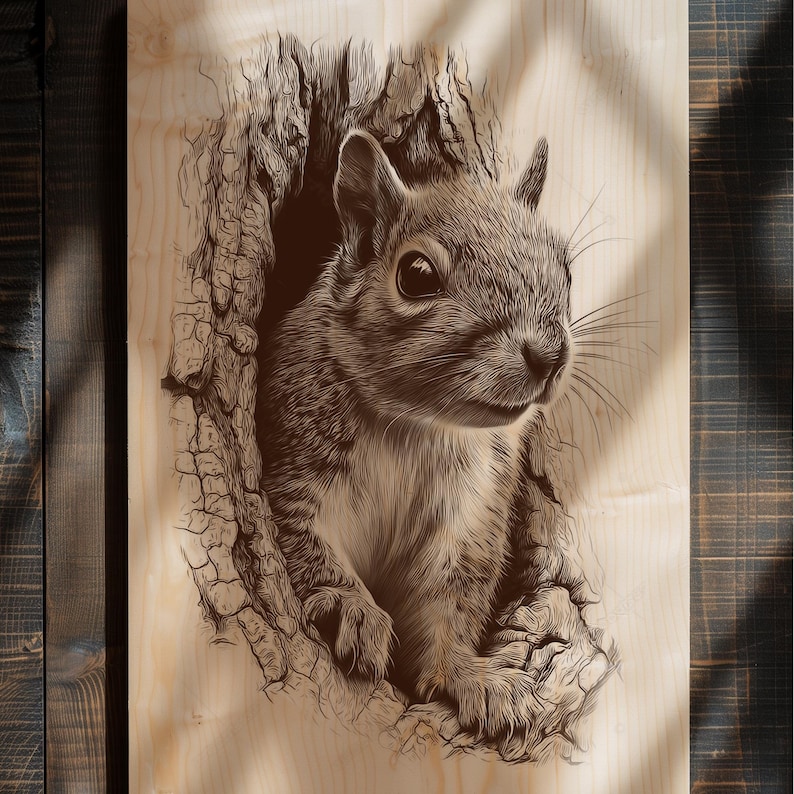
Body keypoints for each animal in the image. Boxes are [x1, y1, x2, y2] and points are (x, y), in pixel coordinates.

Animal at [256, 129, 574, 738]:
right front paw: (350, 607)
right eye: (417, 275)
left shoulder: (471, 518)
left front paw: (475, 679)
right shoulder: (295, 464)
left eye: (566, 266)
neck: (416, 425)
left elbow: (444, 610)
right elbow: (306, 542)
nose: (549, 356)